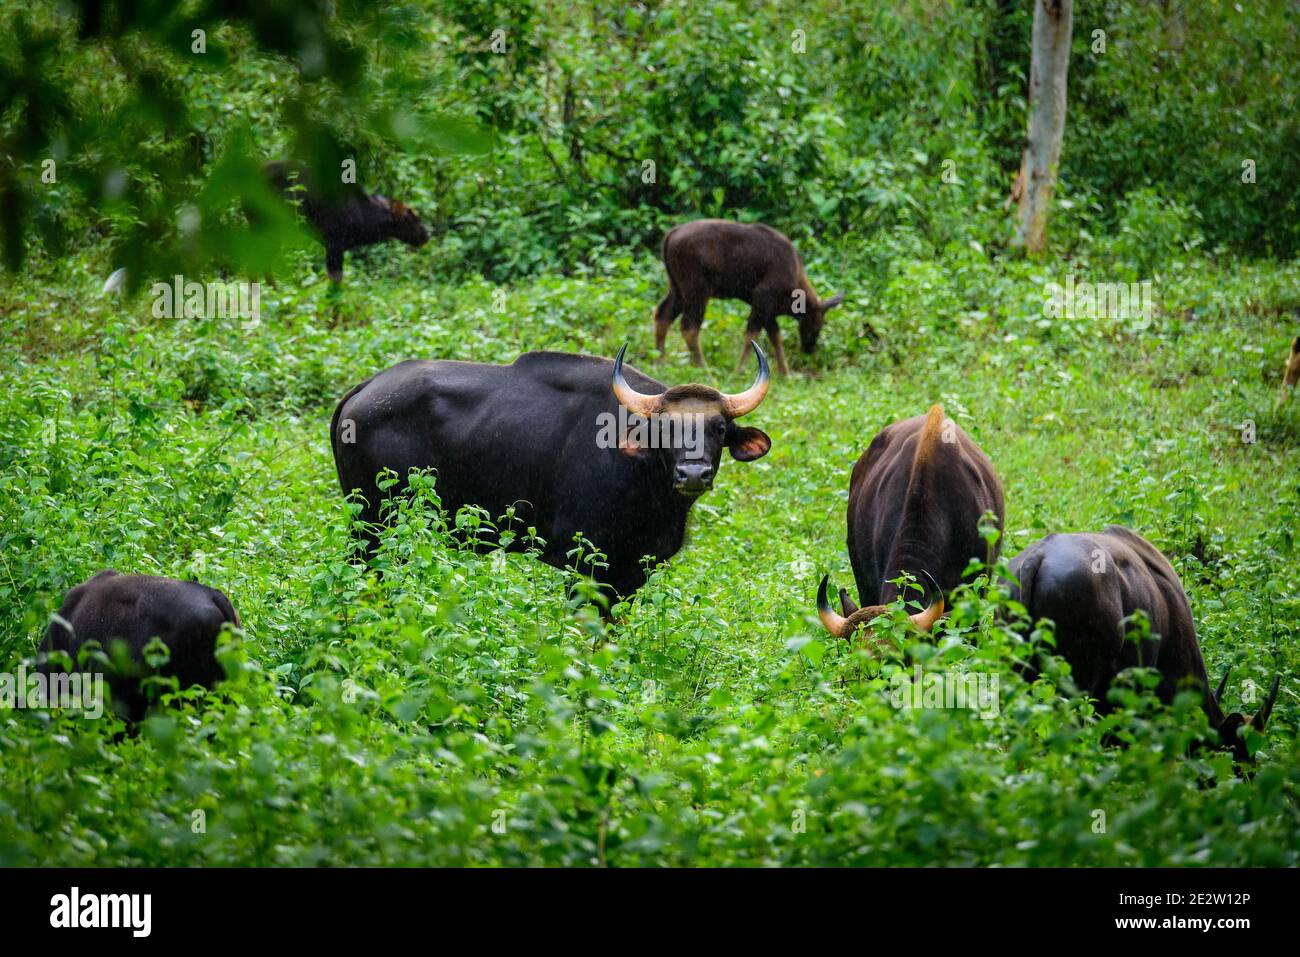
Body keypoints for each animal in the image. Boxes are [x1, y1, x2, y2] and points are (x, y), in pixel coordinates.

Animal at [331, 345, 773, 608]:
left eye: (718, 428)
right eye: (665, 429)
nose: (693, 472)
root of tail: (365, 388)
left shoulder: (633, 572)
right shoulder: (586, 564)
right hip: (373, 524)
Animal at [653, 219, 844, 375]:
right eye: (818, 325)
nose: (809, 350)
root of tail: (671, 235)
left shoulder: (767, 308)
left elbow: (775, 336)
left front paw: (785, 373)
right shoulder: (763, 298)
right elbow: (752, 334)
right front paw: (739, 371)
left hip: (677, 288)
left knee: (663, 315)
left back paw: (659, 360)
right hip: (697, 290)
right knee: (689, 327)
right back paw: (703, 368)